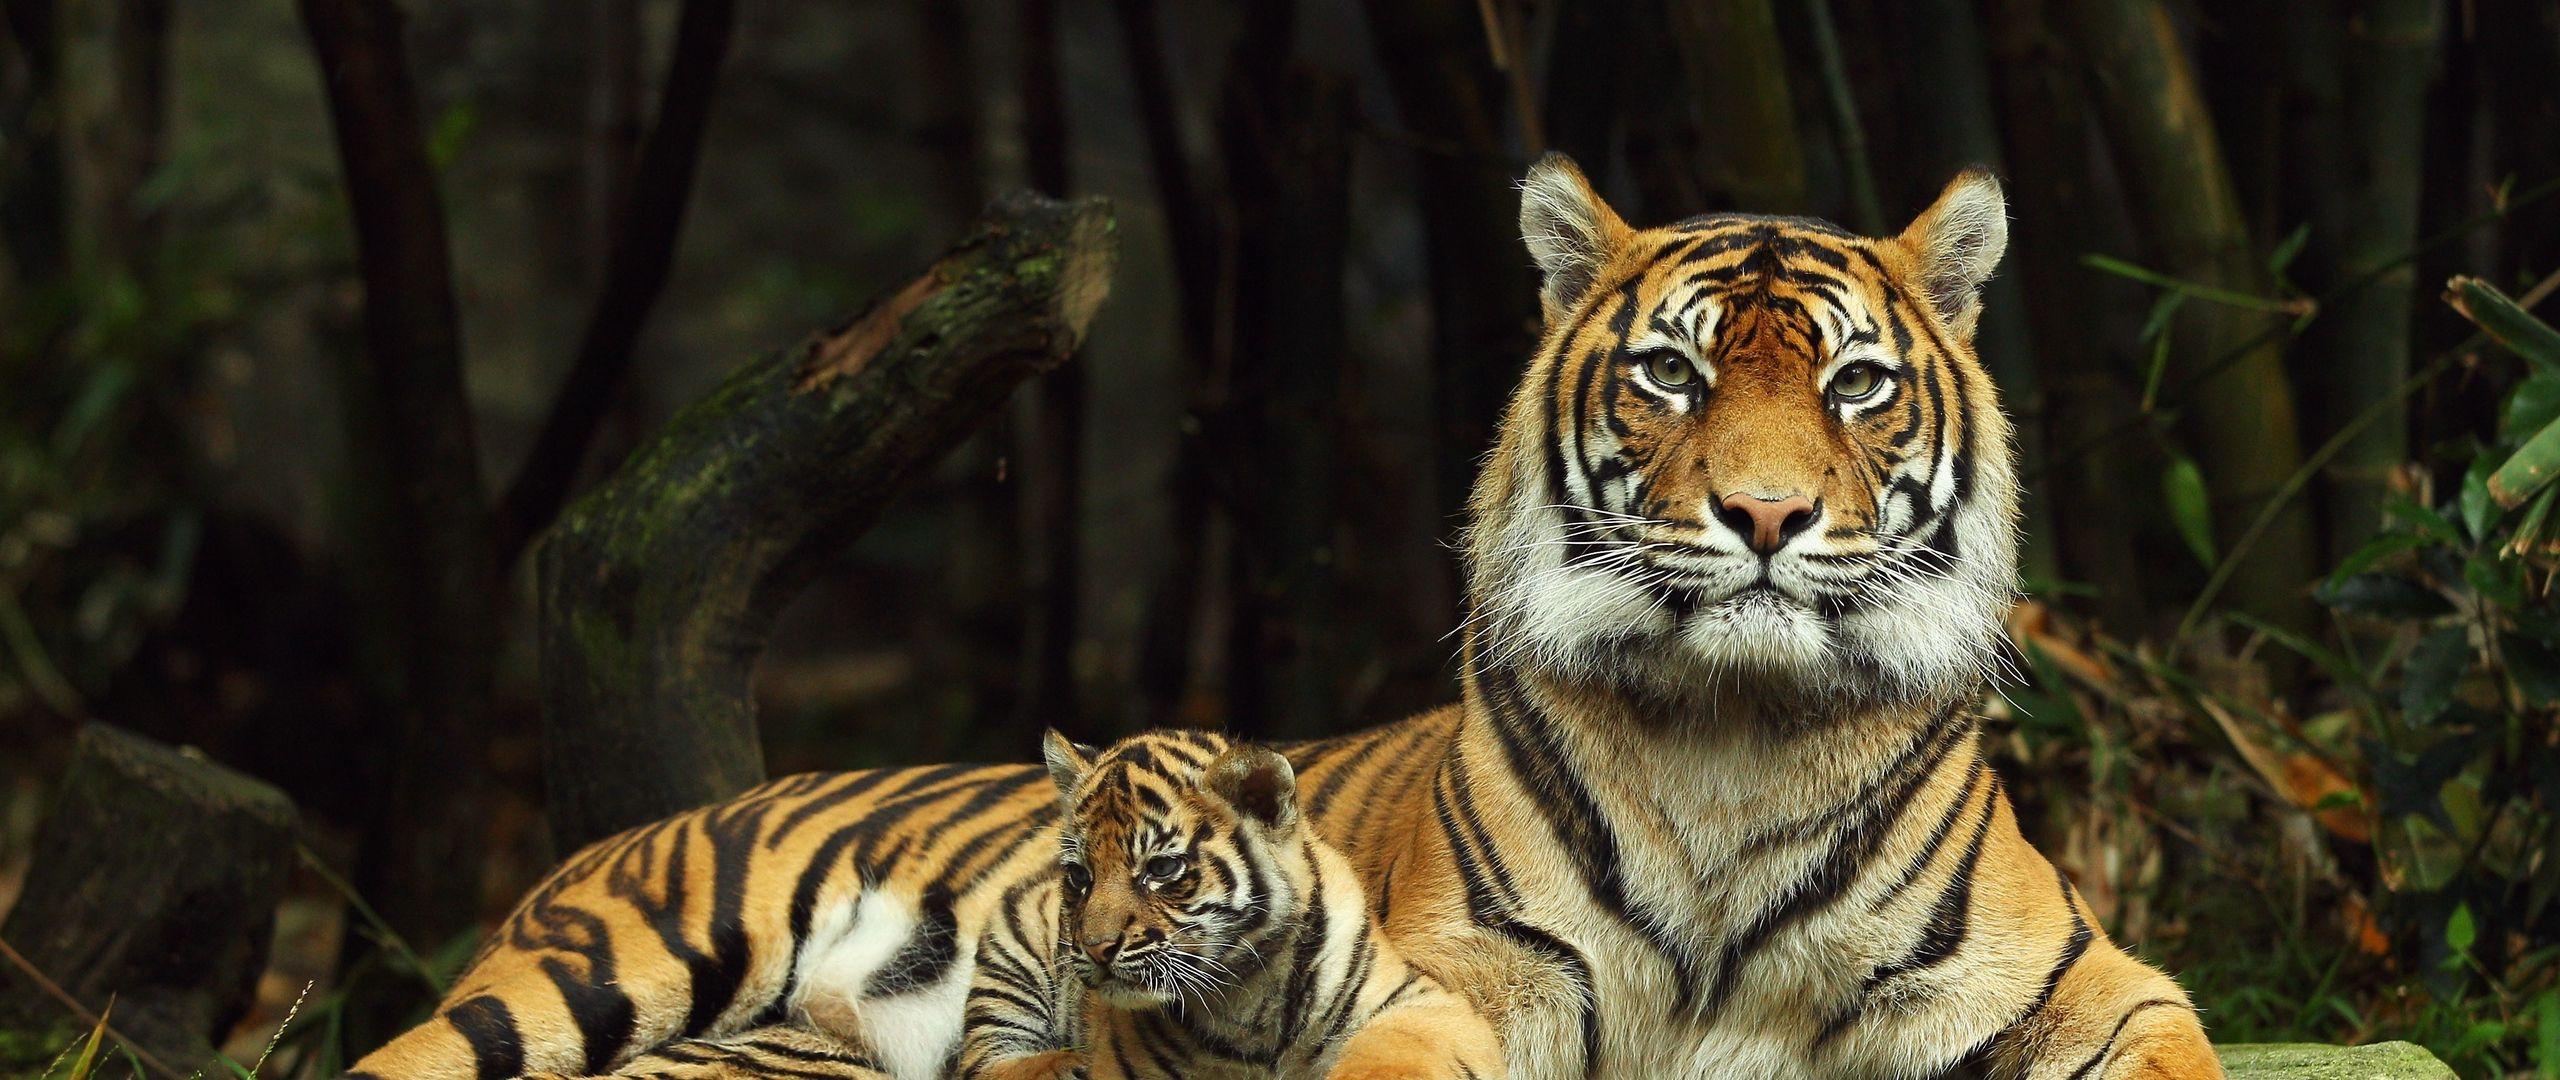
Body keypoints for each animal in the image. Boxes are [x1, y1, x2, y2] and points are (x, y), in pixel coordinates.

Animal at [955, 729, 1503, 1080]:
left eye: (1161, 869)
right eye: (1080, 876)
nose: (1095, 948)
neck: (1249, 995)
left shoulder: (1423, 1003)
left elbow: (1393, 1055)